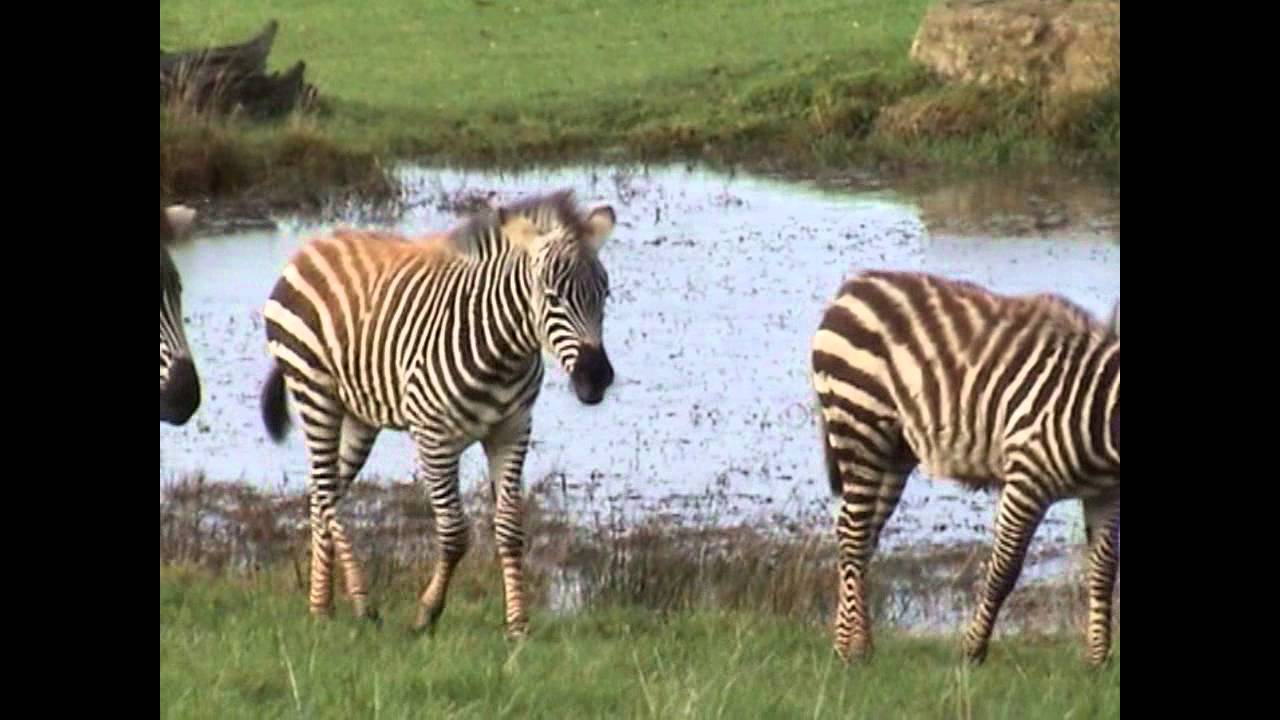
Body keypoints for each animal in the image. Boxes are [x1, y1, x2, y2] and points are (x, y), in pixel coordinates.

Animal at [258, 189, 617, 638]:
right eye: (551, 296)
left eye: (605, 294)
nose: (597, 378)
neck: (503, 352)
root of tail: (314, 245)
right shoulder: (434, 437)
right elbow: (455, 534)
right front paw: (427, 613)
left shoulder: (512, 429)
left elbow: (510, 529)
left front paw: (518, 625)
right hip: (315, 393)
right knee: (325, 493)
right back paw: (361, 602)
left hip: (359, 417)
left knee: (321, 493)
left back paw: (321, 606)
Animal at [810, 270, 1120, 667]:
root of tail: (854, 284)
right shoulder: (1028, 478)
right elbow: (1004, 570)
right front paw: (972, 651)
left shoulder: (1106, 493)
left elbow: (1103, 572)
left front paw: (1098, 659)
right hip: (859, 424)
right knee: (852, 532)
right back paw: (852, 649)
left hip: (893, 452)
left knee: (861, 535)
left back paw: (853, 644)